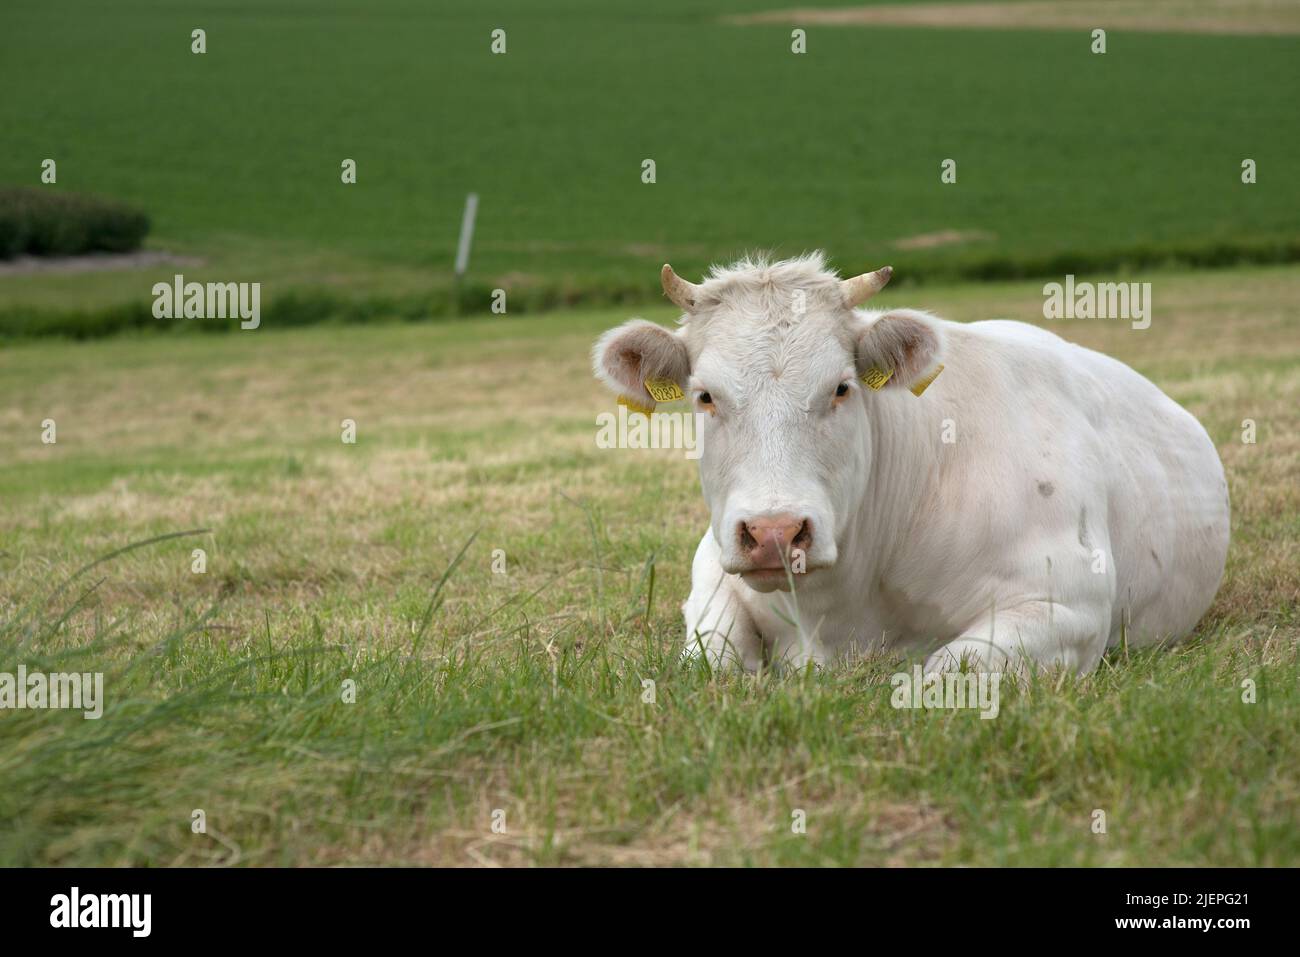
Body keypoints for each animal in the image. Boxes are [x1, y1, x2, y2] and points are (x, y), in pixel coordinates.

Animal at [591, 254, 1230, 674]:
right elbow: (711, 659)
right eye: (704, 395)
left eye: (842, 387)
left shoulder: (1069, 603)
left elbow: (939, 674)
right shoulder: (710, 569)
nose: (775, 533)